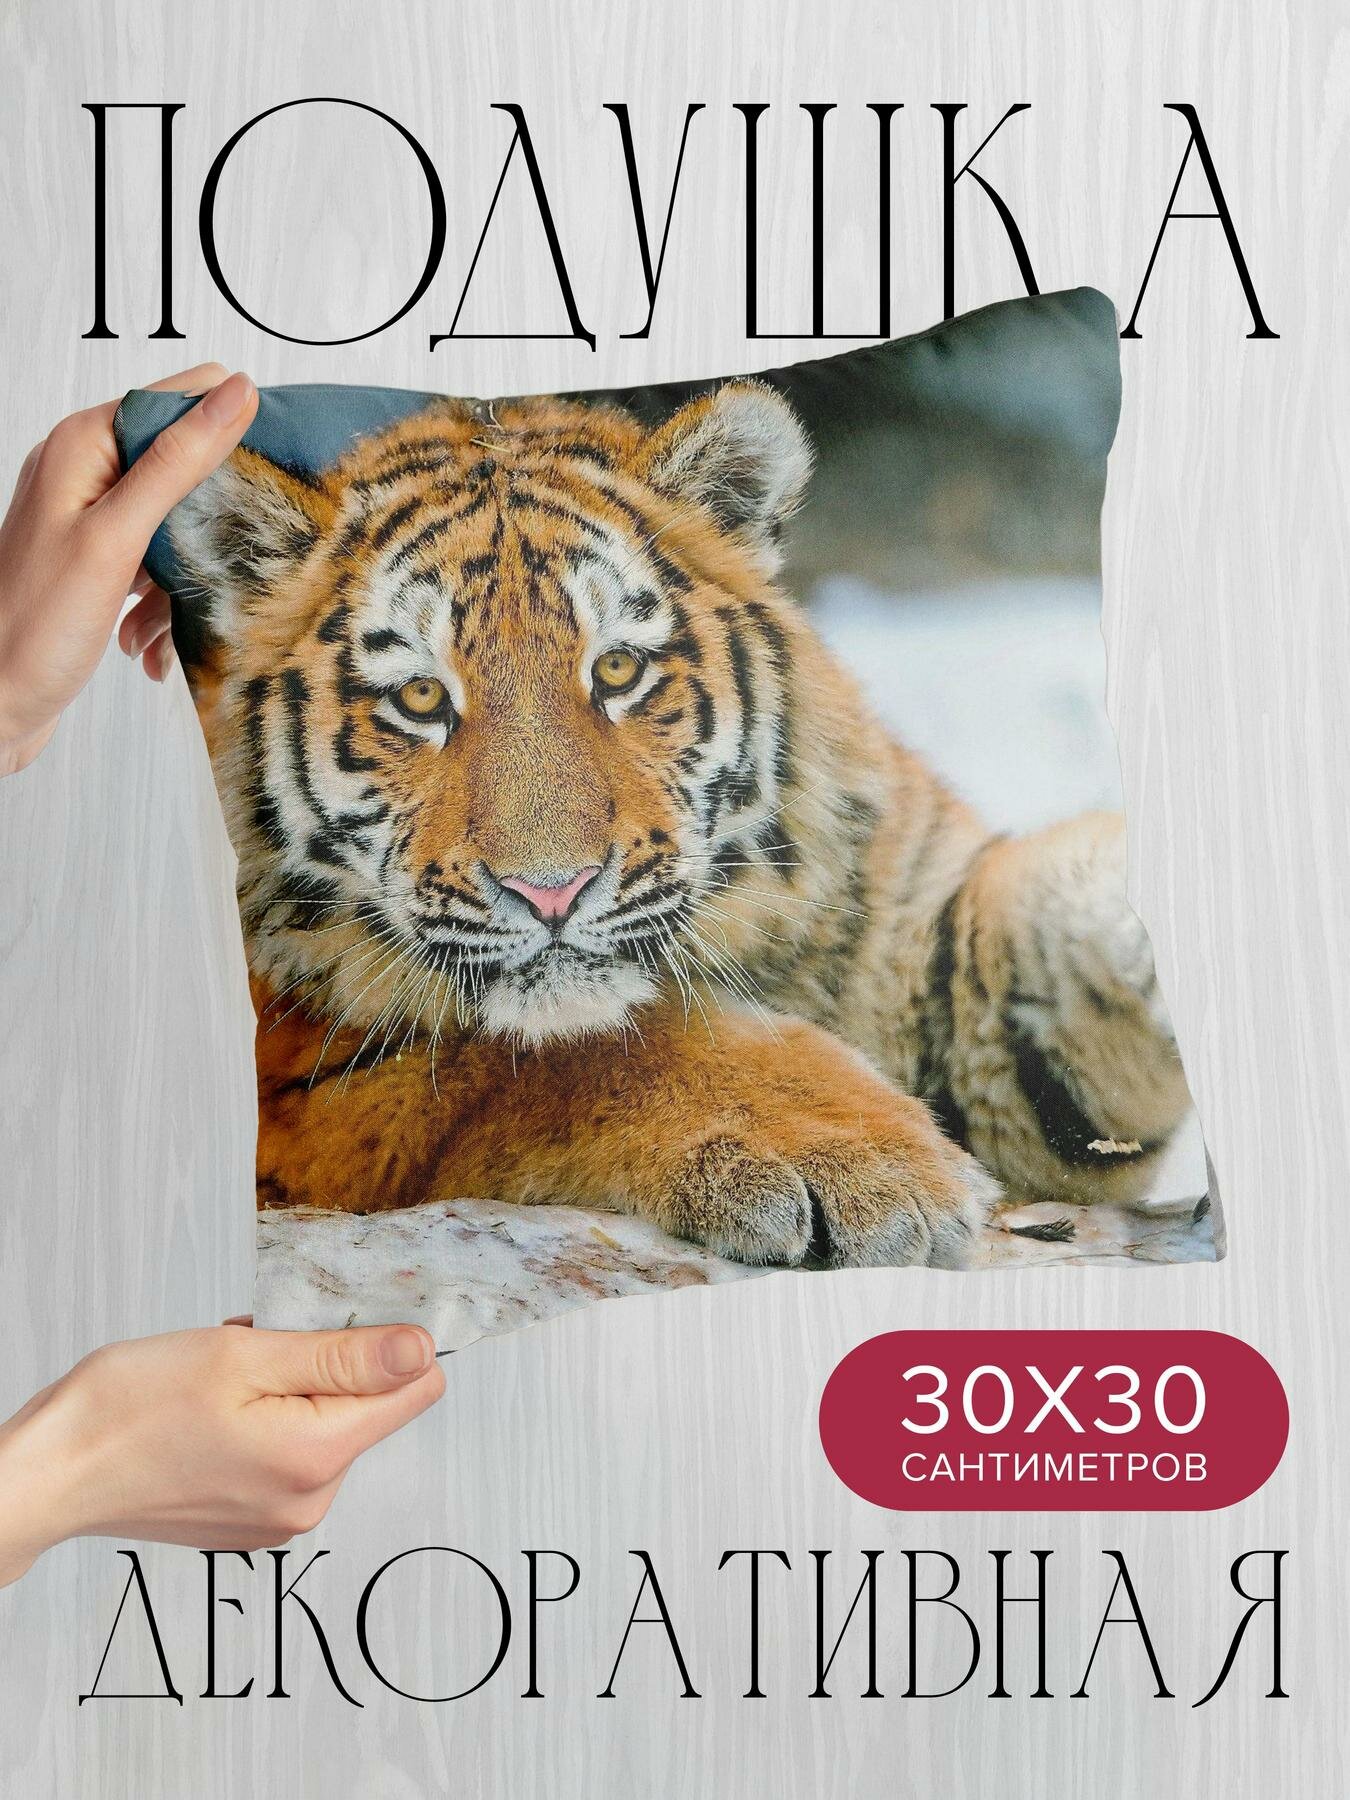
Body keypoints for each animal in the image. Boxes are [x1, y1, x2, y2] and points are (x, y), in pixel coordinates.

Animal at [165, 382, 1194, 1270]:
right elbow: (579, 1051)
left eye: (618, 671)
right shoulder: (313, 1082)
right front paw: (861, 1161)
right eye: (420, 697)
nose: (551, 892)